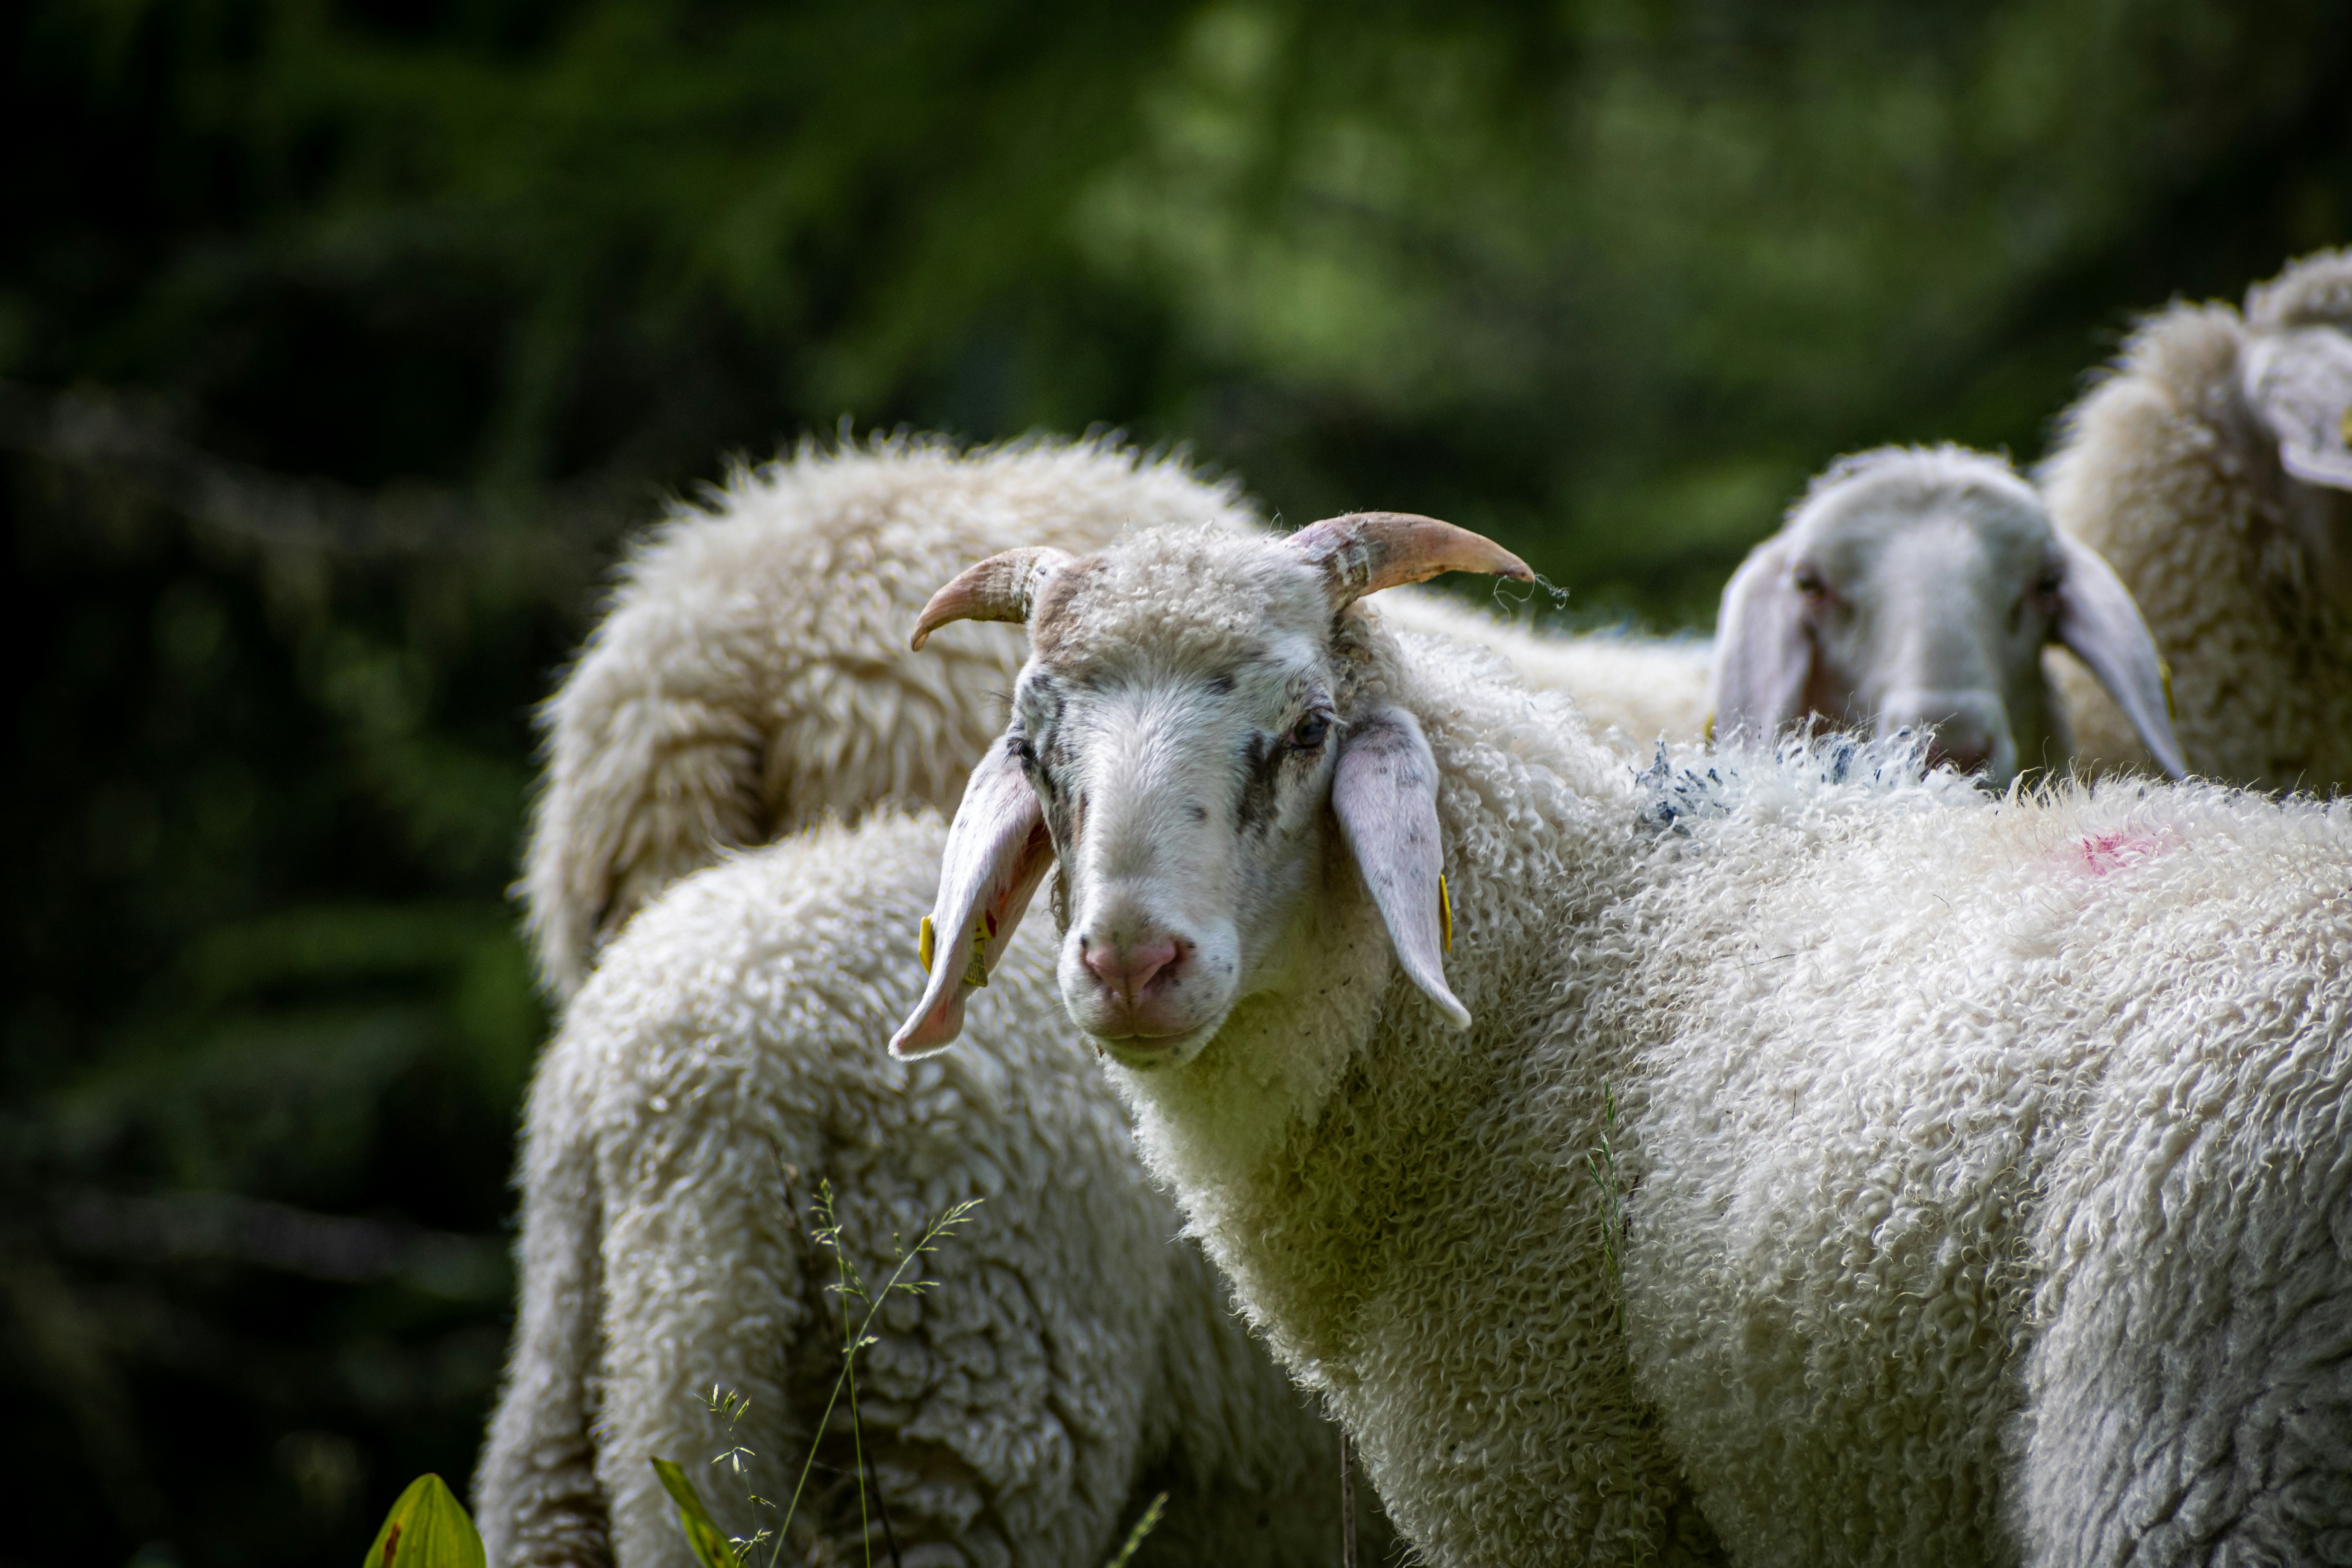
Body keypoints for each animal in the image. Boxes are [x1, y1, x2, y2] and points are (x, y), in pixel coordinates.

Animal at [890, 510, 2352, 1567]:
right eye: (1034, 751)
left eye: (1306, 731)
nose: (1131, 964)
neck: (1565, 946)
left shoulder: (1550, 1469)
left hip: (2196, 1443)